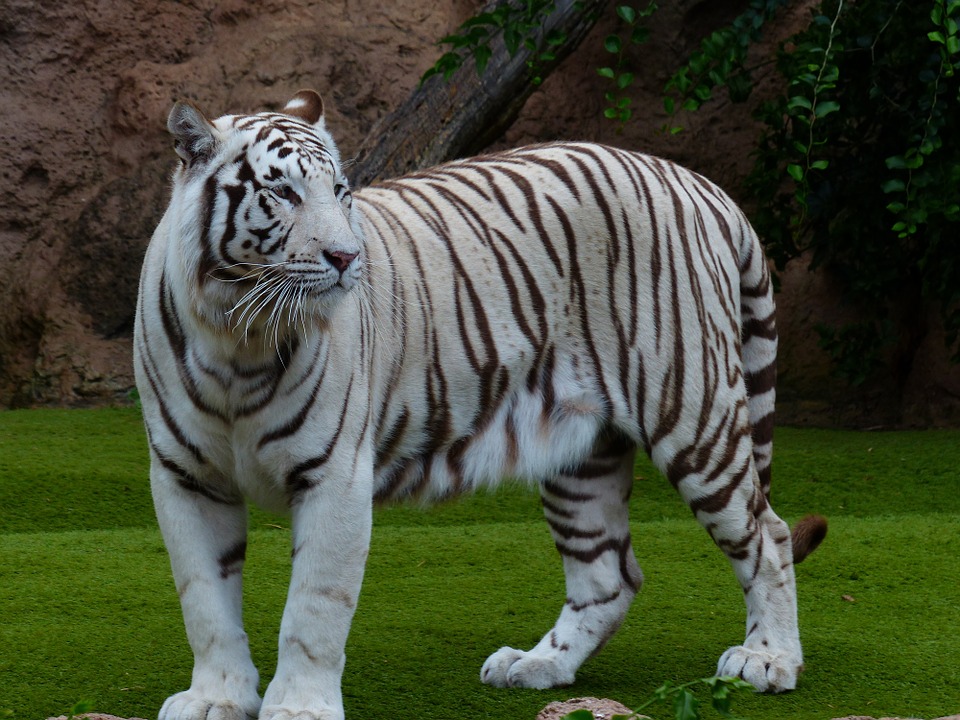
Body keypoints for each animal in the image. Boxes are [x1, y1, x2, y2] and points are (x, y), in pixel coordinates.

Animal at [134, 89, 827, 720]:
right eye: (282, 194)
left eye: (340, 191)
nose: (347, 257)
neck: (237, 336)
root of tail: (699, 183)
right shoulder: (184, 476)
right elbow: (204, 601)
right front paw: (217, 698)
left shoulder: (334, 476)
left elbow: (313, 607)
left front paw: (299, 708)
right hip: (581, 452)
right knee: (610, 574)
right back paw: (539, 664)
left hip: (692, 411)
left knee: (768, 533)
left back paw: (768, 661)